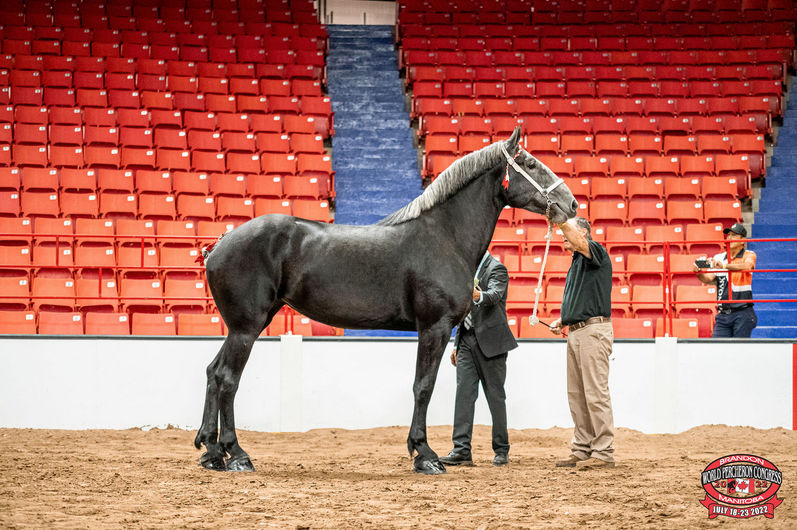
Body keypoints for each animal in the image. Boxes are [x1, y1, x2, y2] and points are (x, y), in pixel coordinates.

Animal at [194, 127, 578, 474]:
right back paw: (236, 455)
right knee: (227, 378)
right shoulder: (434, 328)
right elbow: (423, 386)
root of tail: (220, 244)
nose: (572, 204)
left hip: (242, 327)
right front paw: (425, 455)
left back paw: (212, 453)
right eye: (530, 162)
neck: (444, 236)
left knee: (213, 372)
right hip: (246, 327)